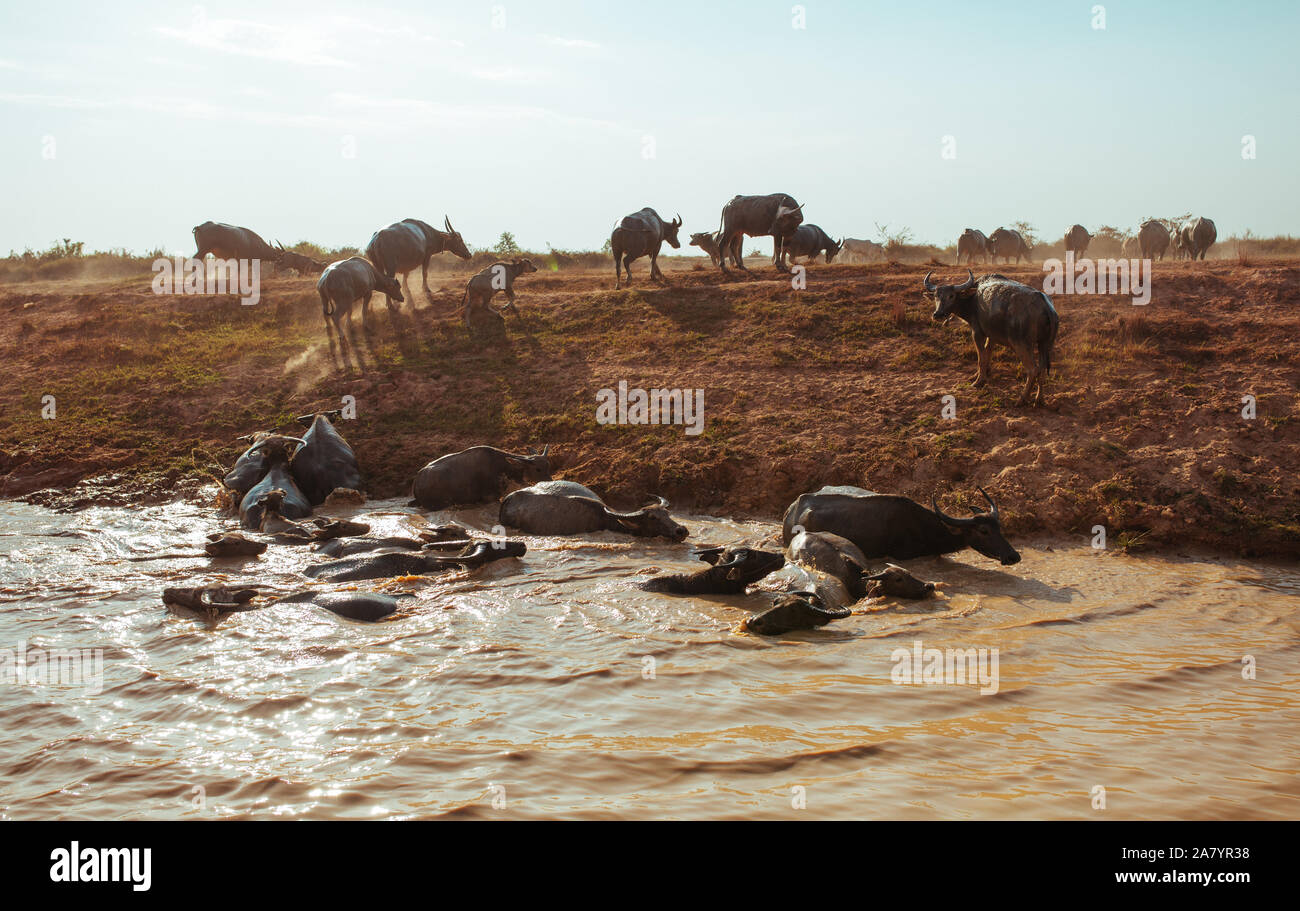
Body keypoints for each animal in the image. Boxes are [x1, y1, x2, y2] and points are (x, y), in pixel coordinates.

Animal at [924, 269, 1059, 406]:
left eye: (951, 296)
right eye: (936, 296)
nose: (938, 314)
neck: (972, 300)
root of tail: (1045, 305)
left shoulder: (977, 333)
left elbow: (981, 358)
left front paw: (979, 381)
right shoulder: (992, 335)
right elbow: (987, 353)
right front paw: (982, 374)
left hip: (1022, 344)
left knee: (1033, 370)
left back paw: (1021, 399)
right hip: (1045, 345)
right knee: (1042, 369)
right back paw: (1039, 400)